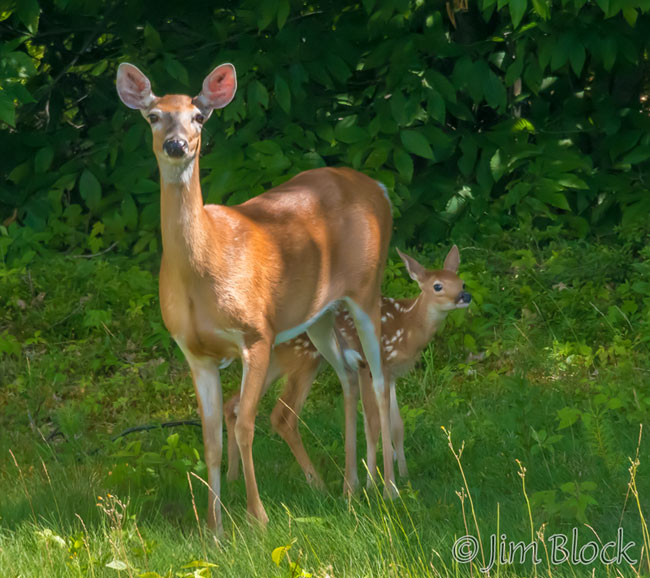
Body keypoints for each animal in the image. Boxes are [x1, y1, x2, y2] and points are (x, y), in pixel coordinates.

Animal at [116, 62, 394, 534]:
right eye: (153, 116)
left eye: (199, 116)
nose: (176, 145)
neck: (202, 273)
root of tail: (378, 187)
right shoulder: (193, 351)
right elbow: (209, 438)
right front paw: (213, 529)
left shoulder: (257, 333)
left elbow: (245, 424)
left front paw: (257, 517)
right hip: (317, 312)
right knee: (348, 374)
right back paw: (352, 485)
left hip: (366, 286)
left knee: (377, 376)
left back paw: (388, 486)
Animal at [224, 246, 471, 491]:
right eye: (437, 286)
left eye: (462, 282)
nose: (465, 296)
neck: (408, 326)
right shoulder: (368, 364)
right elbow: (371, 424)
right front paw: (373, 482)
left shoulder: (391, 373)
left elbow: (397, 426)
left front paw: (403, 475)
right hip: (305, 358)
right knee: (282, 416)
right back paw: (317, 483)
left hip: (275, 361)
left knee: (233, 405)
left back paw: (233, 478)